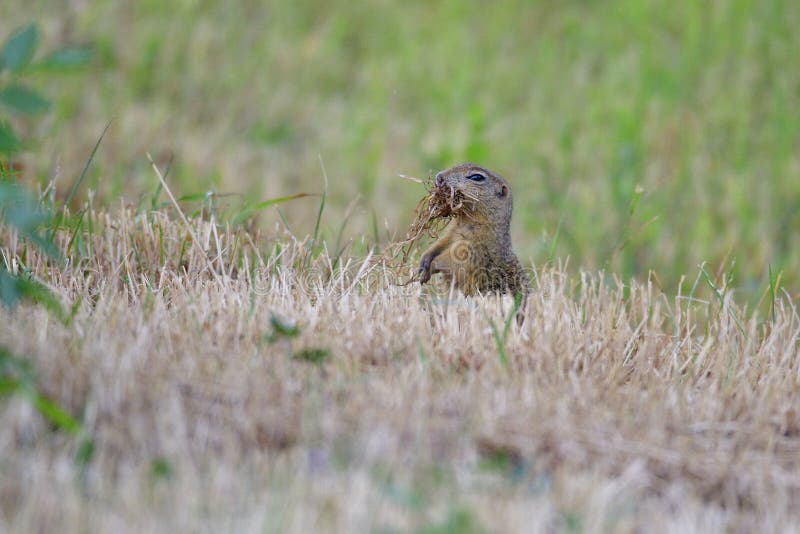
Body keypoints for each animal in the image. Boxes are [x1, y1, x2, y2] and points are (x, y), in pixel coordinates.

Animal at [418, 163, 529, 302]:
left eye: (477, 177)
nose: (439, 177)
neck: (465, 222)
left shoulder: (471, 249)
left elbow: (453, 262)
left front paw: (430, 267)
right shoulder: (451, 234)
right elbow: (440, 243)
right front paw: (423, 260)